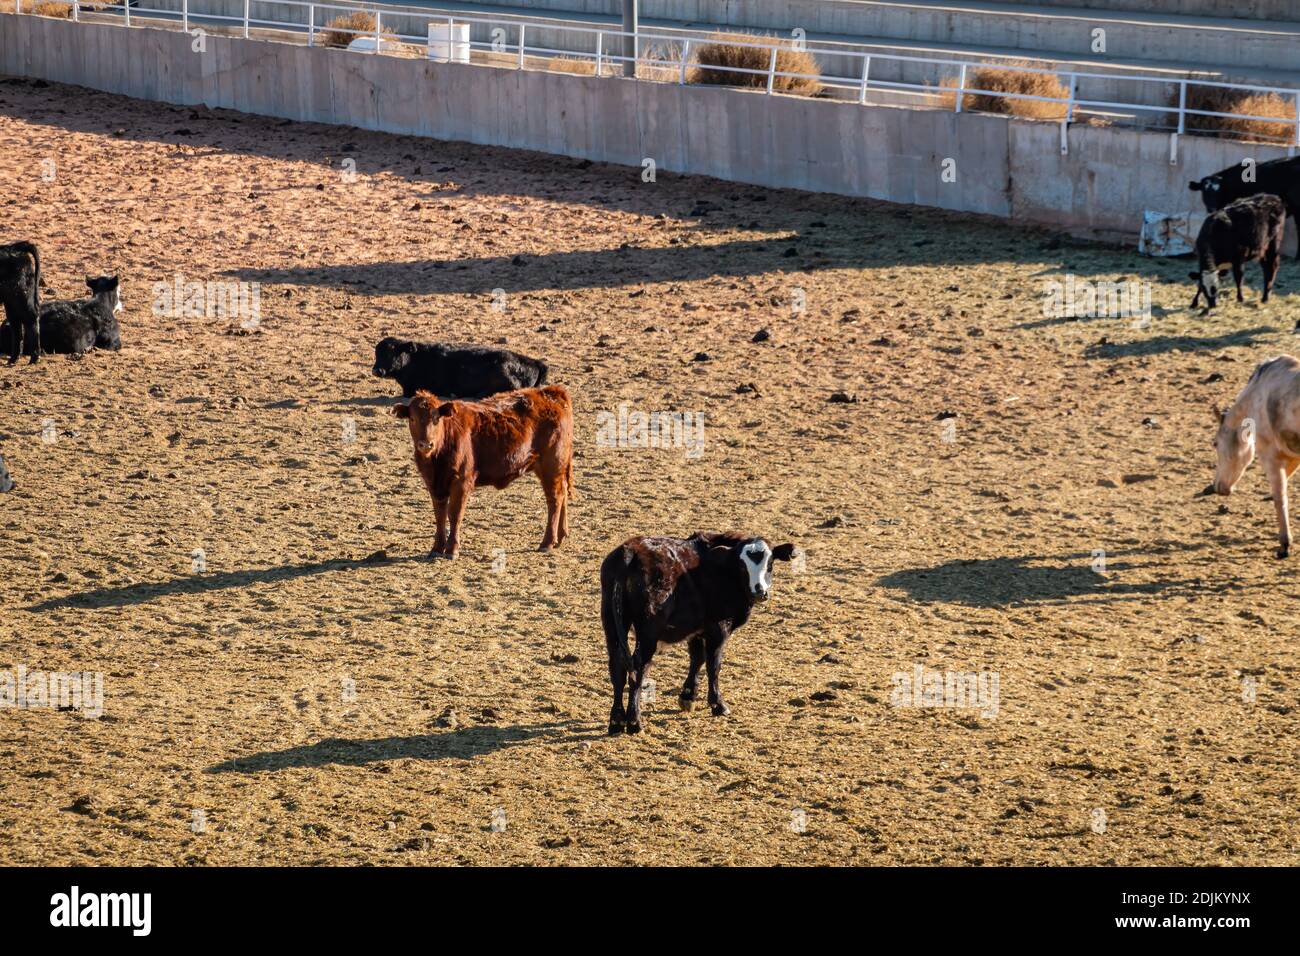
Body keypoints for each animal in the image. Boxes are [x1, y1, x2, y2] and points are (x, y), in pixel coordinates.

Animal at [392, 385, 574, 558]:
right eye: (413, 419)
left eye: (436, 419)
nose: (425, 444)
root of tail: (551, 393)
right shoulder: (434, 484)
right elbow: (440, 516)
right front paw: (436, 548)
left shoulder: (462, 482)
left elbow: (455, 514)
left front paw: (452, 549)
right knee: (563, 492)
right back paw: (561, 536)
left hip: (551, 466)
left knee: (555, 499)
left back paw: (547, 542)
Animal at [600, 532, 799, 734]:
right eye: (742, 565)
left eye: (770, 563)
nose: (760, 592)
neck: (723, 569)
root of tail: (630, 552)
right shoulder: (719, 628)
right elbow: (713, 665)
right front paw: (718, 705)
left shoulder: (695, 630)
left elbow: (697, 658)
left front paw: (687, 697)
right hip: (648, 631)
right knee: (638, 668)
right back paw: (634, 722)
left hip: (611, 621)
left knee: (617, 667)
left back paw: (616, 721)